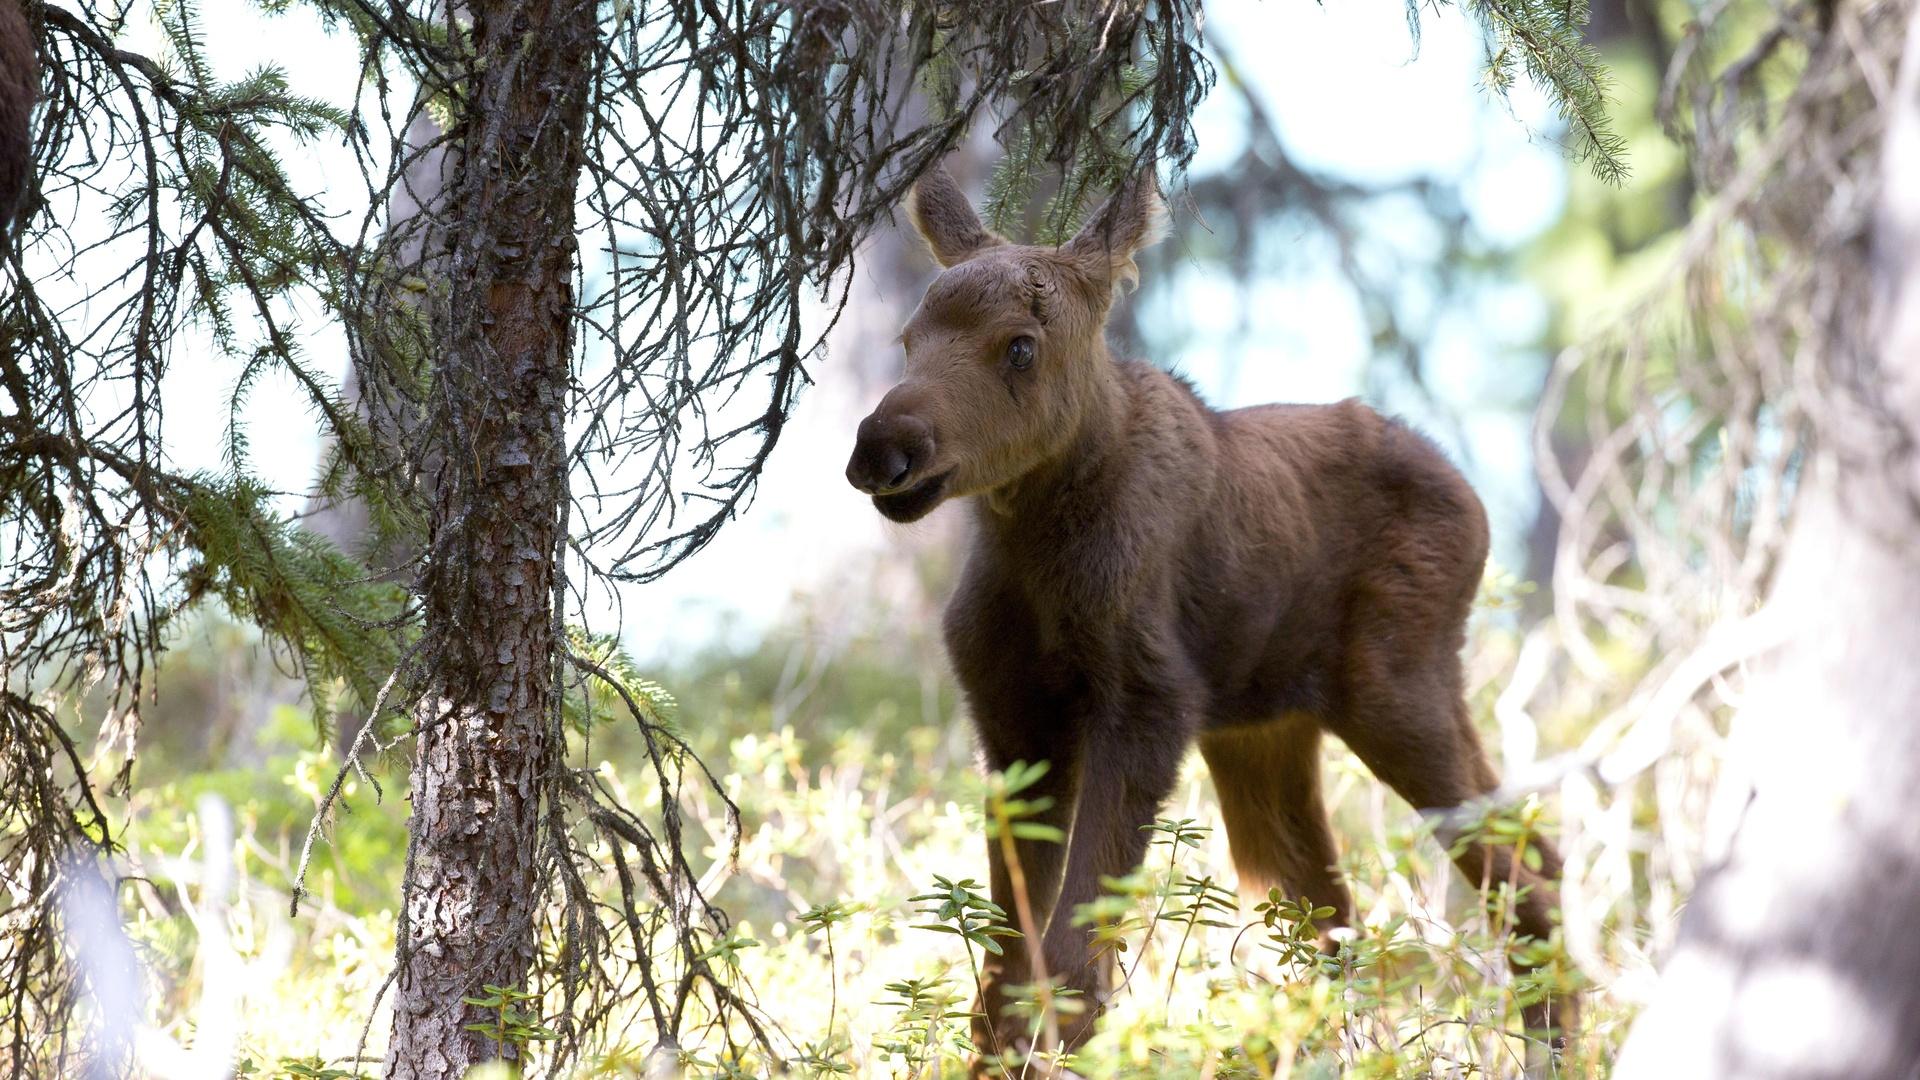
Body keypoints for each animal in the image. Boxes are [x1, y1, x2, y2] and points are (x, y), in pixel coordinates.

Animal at [844, 163, 1575, 1062]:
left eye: (1020, 345)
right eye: (908, 340)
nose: (883, 448)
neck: (1035, 554)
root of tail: (1477, 506)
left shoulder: (1149, 703)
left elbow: (1072, 970)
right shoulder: (1011, 719)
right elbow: (1004, 980)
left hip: (1395, 686)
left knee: (1524, 876)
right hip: (1266, 732)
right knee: (1348, 913)